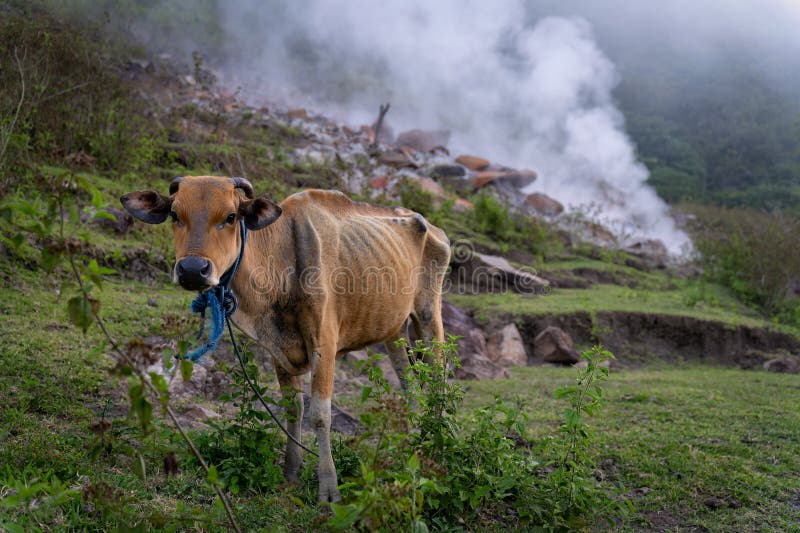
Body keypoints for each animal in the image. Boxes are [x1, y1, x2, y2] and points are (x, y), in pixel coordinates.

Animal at [120, 175, 450, 502]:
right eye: (175, 215)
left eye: (231, 216)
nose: (191, 270)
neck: (281, 264)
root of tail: (428, 224)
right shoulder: (277, 348)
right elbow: (294, 408)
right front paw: (291, 473)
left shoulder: (324, 344)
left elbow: (320, 415)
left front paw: (329, 489)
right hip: (395, 331)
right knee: (410, 387)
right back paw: (410, 446)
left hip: (428, 315)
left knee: (438, 378)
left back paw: (438, 443)